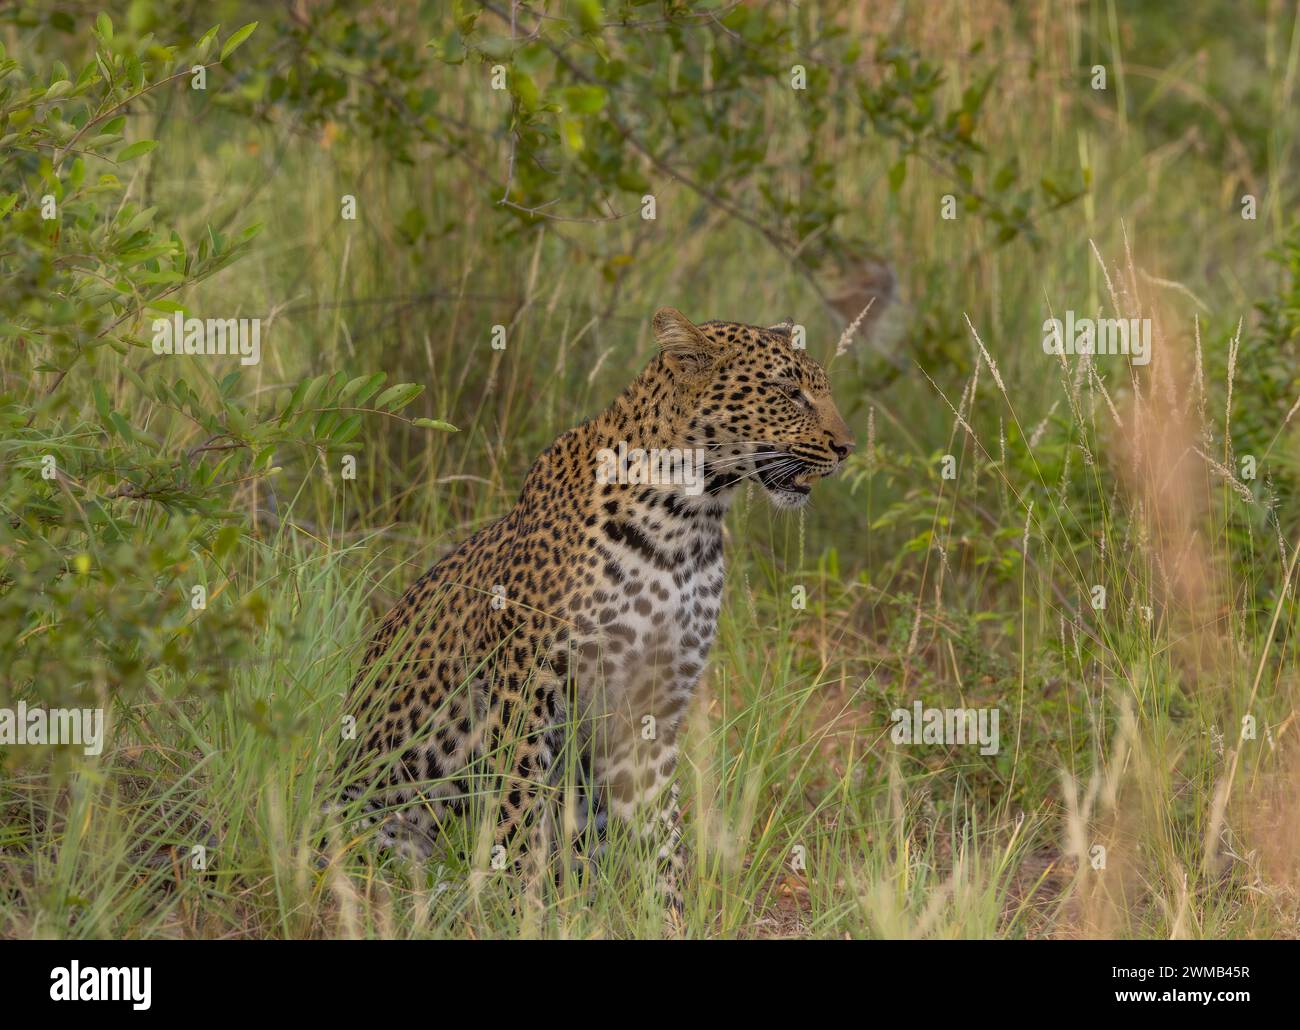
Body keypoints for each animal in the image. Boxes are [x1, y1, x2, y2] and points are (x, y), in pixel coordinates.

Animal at [336, 307, 854, 910]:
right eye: (789, 392)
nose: (848, 448)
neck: (687, 520)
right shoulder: (529, 682)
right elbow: (519, 800)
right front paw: (516, 903)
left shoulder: (654, 695)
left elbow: (660, 822)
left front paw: (667, 909)